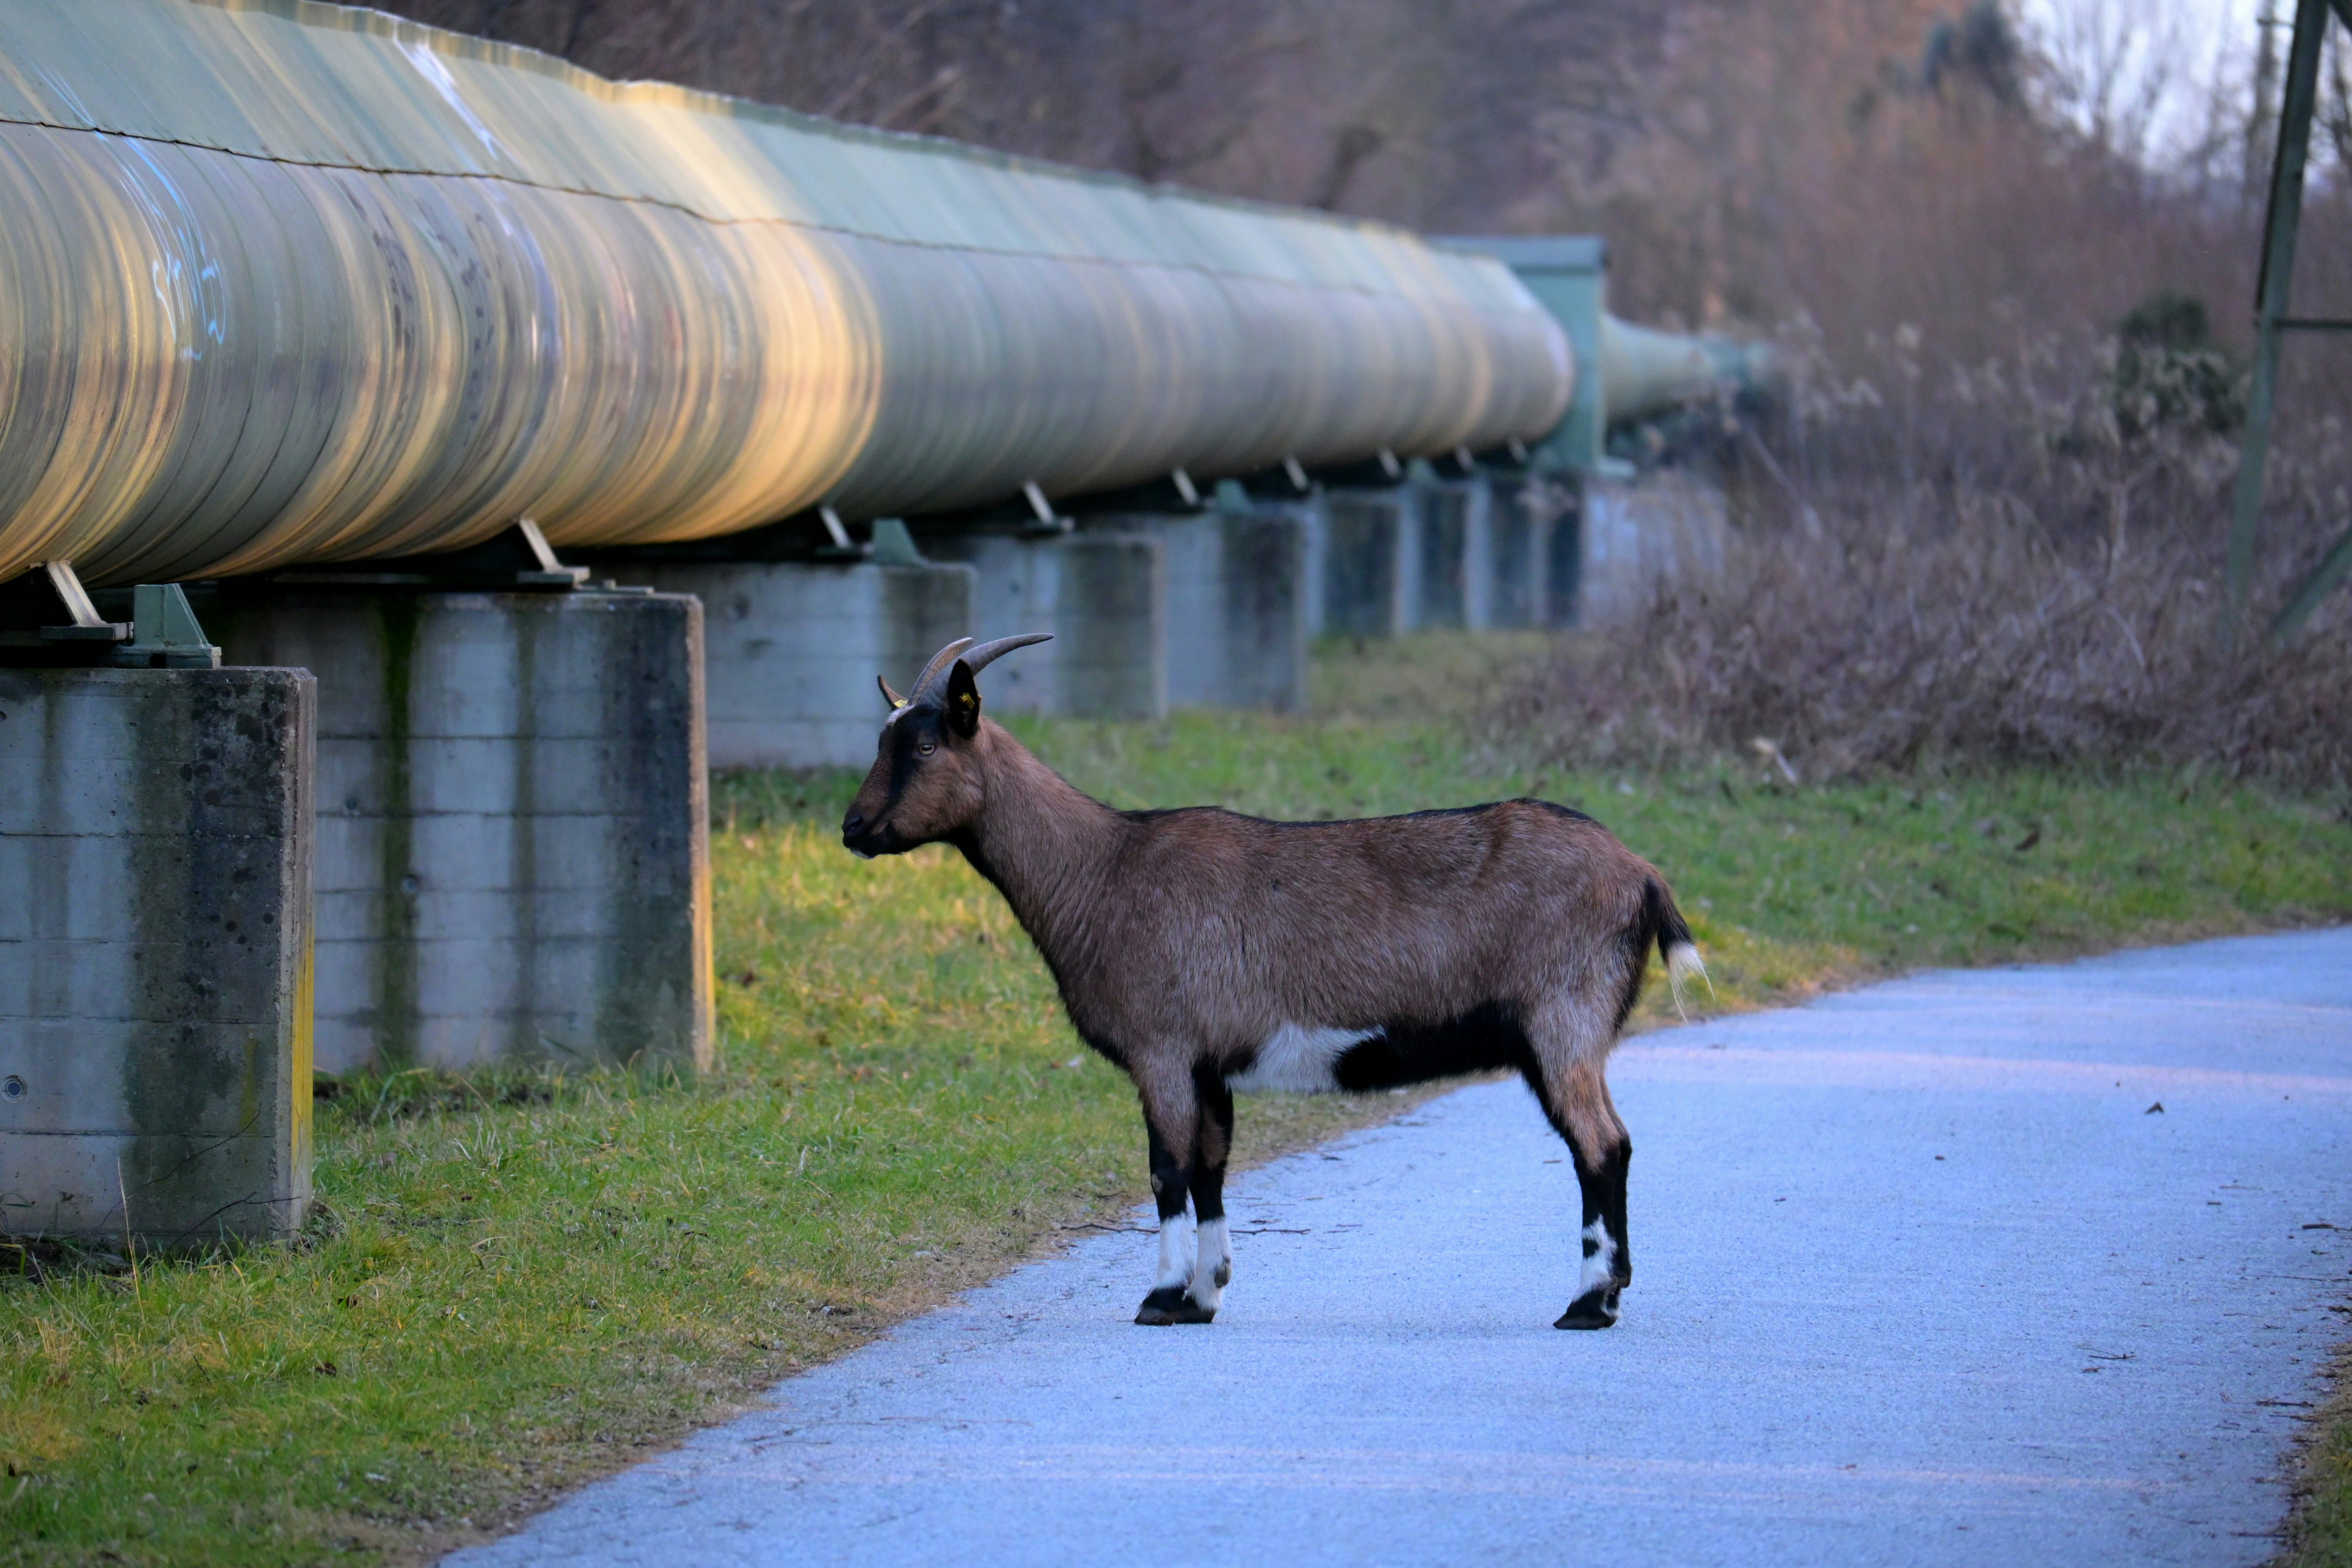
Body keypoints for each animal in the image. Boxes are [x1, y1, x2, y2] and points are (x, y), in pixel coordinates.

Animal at [842, 635, 1704, 1330]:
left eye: (924, 747)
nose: (853, 830)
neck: (1100, 871)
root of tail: (1643, 876)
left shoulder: (1161, 1049)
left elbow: (1166, 1170)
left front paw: (1159, 1297)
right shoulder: (1208, 1063)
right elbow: (1211, 1166)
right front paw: (1203, 1295)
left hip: (1562, 1021)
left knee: (1600, 1147)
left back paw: (1588, 1304)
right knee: (1609, 1144)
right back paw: (1604, 1294)